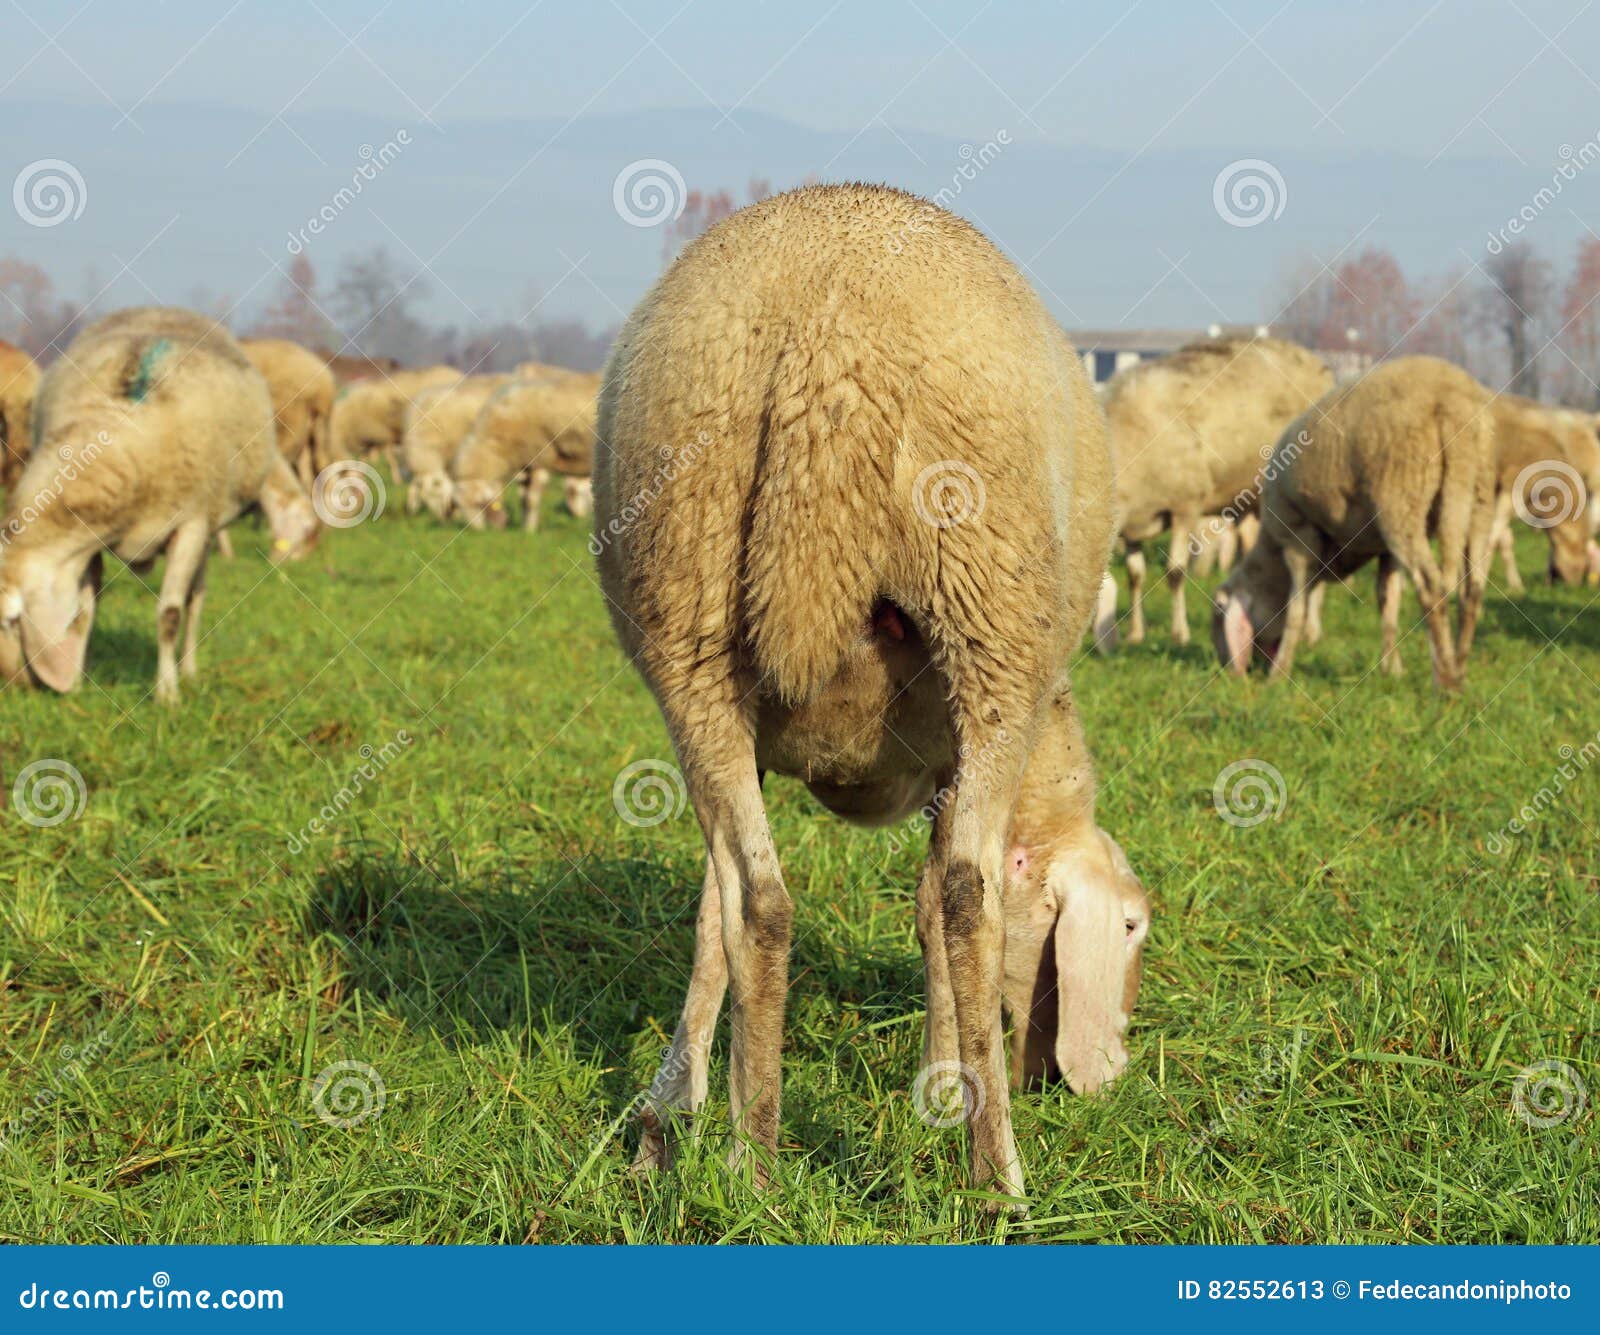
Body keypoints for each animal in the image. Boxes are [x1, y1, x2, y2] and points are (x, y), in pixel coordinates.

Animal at [452, 369, 600, 530]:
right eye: (460, 506)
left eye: (478, 503)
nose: (478, 531)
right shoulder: (525, 464)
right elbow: (523, 498)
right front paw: (524, 527)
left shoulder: (538, 458)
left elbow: (531, 500)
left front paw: (529, 529)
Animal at [595, 183, 1150, 1205]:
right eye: (1132, 925)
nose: (1108, 1076)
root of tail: (830, 335)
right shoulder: (947, 759)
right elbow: (933, 904)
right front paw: (942, 1087)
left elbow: (706, 917)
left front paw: (670, 1111)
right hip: (989, 618)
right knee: (970, 897)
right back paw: (998, 1174)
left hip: (687, 618)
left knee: (757, 904)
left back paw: (753, 1160)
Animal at [1098, 337, 1333, 649]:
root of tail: (1315, 361)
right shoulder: (1132, 523)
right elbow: (1135, 576)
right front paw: (1136, 633)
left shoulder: (1186, 507)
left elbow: (1175, 572)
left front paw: (1179, 633)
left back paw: (1311, 631)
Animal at [1211, 356, 1497, 691]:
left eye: (1217, 614)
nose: (1224, 671)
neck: (1272, 561)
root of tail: (1452, 401)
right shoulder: (1383, 548)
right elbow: (1388, 601)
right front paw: (1392, 671)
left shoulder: (1297, 534)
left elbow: (1297, 608)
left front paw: (1278, 676)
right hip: (1477, 496)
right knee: (1473, 589)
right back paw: (1459, 668)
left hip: (1400, 497)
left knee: (1431, 586)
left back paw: (1446, 681)